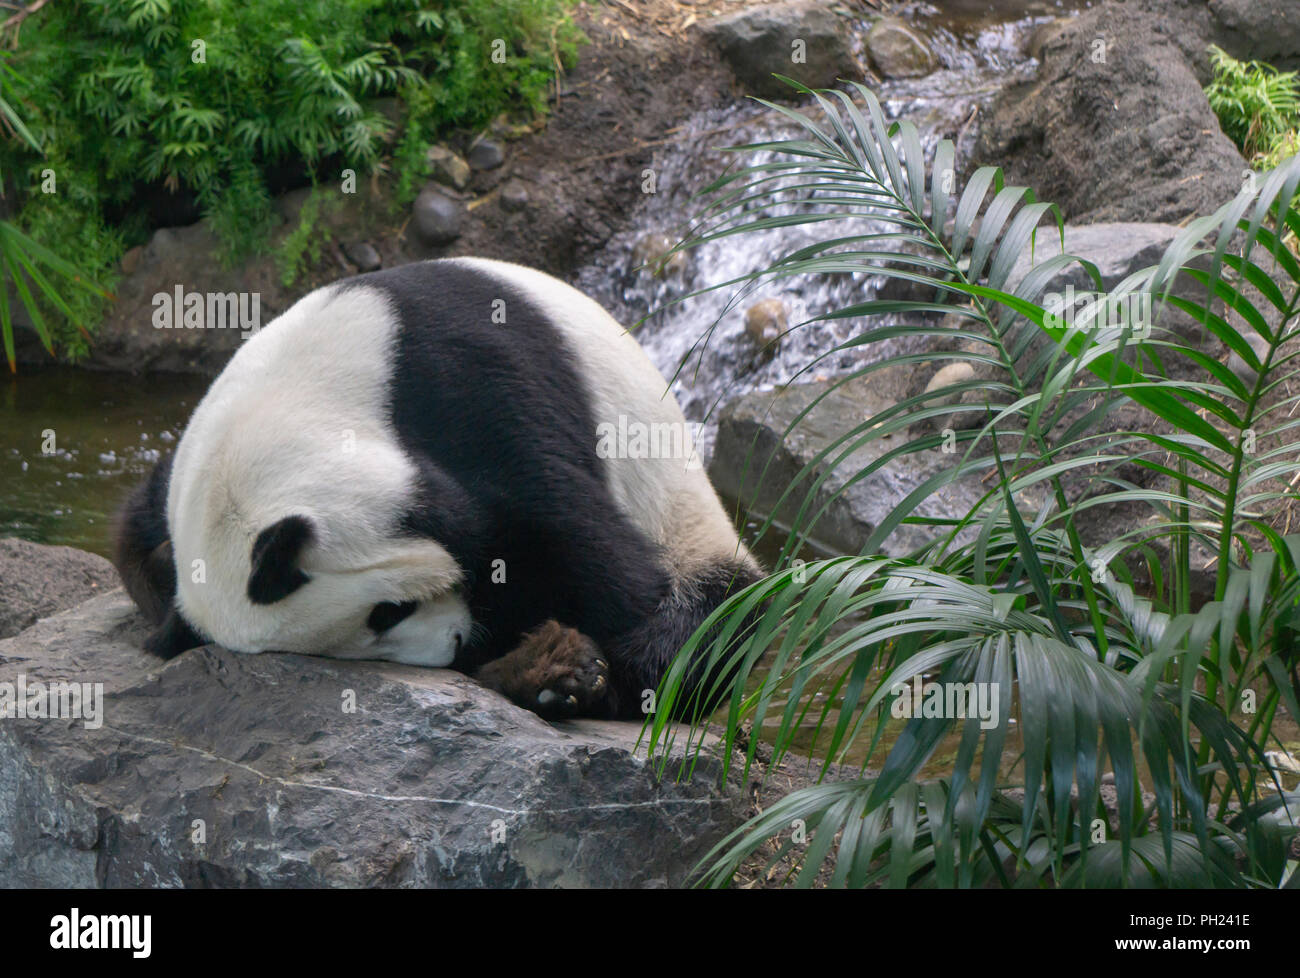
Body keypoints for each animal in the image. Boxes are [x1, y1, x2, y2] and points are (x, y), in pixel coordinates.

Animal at [113, 257, 763, 719]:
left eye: (387, 612)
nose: (455, 644)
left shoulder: (463, 376)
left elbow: (592, 554)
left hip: (684, 516)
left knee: (717, 618)